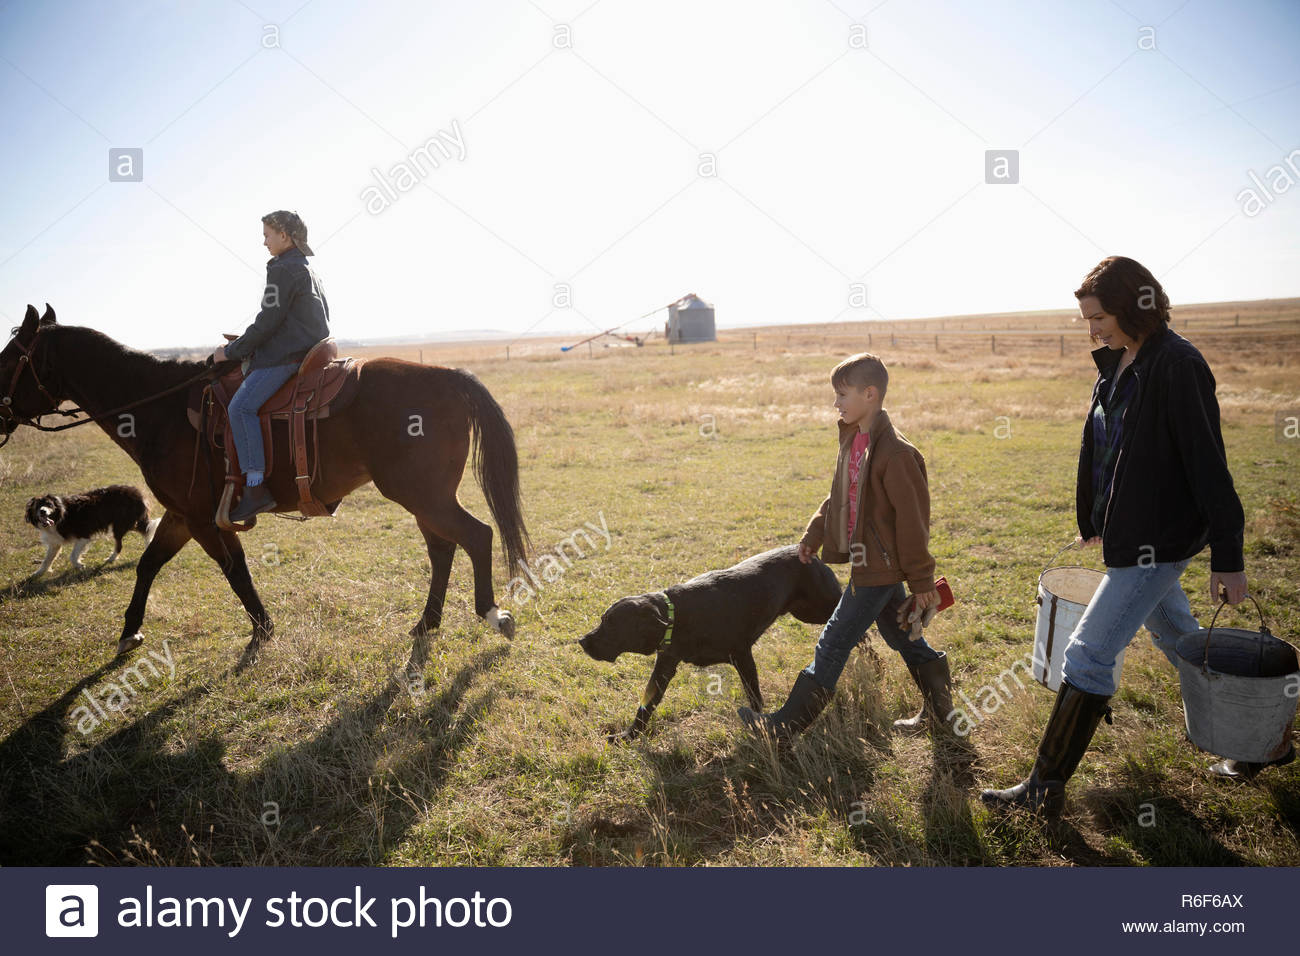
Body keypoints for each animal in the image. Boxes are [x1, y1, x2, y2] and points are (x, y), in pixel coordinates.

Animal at [1, 305, 529, 668]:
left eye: (9, 359)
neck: (159, 409)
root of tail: (449, 377)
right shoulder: (181, 515)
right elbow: (149, 564)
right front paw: (129, 632)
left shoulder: (205, 519)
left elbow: (235, 571)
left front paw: (263, 632)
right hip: (424, 498)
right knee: (443, 548)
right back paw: (426, 624)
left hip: (422, 494)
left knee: (476, 536)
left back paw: (493, 614)